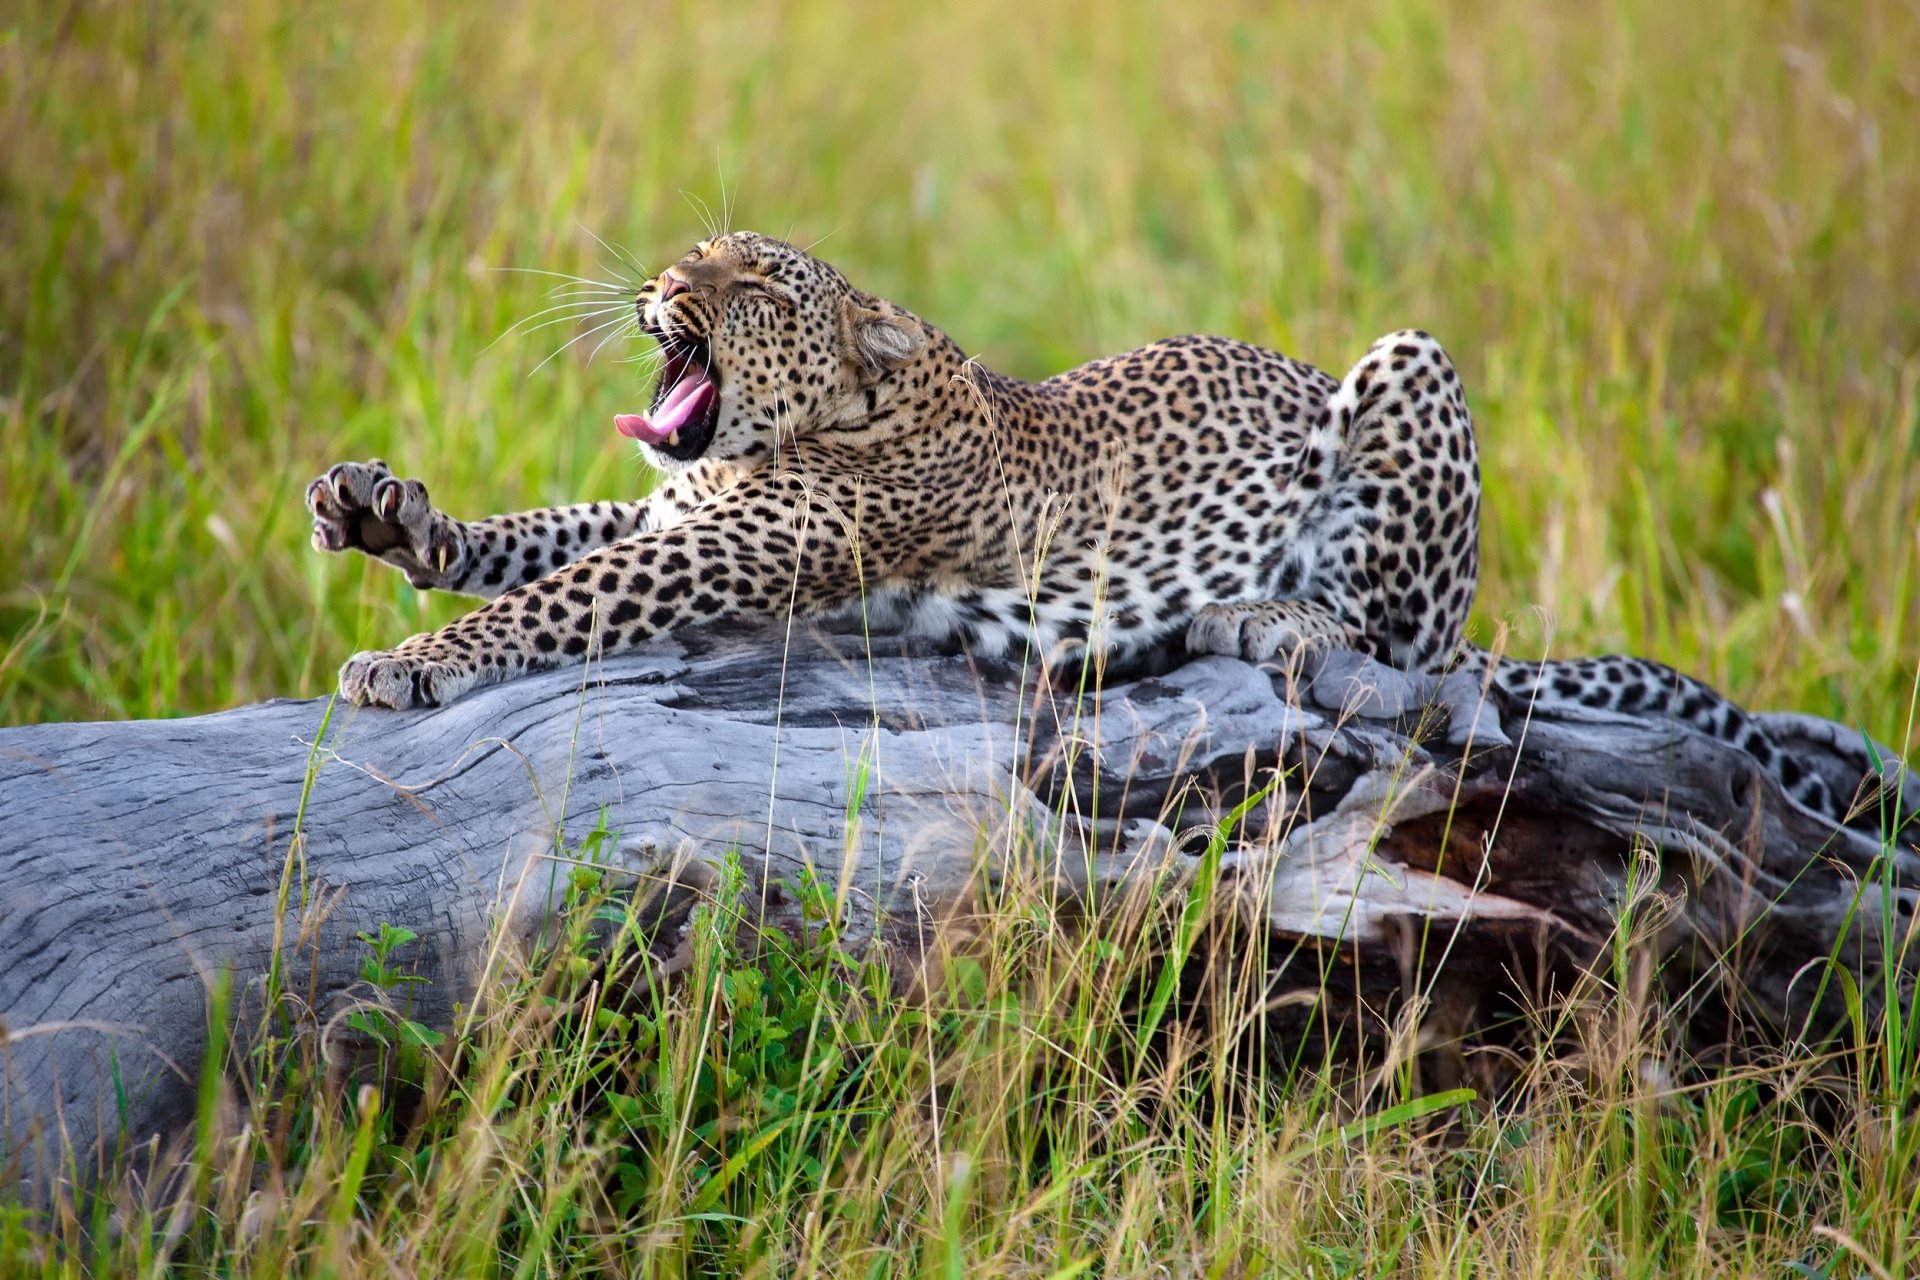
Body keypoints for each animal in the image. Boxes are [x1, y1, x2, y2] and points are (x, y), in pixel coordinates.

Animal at [307, 230, 1882, 829]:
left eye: (752, 283)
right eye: (699, 254)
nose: (660, 282)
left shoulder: (733, 544)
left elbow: (564, 593)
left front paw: (414, 664)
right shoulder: (679, 505)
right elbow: (546, 533)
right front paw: (392, 515)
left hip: (1409, 371)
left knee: (1420, 648)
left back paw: (1265, 615)